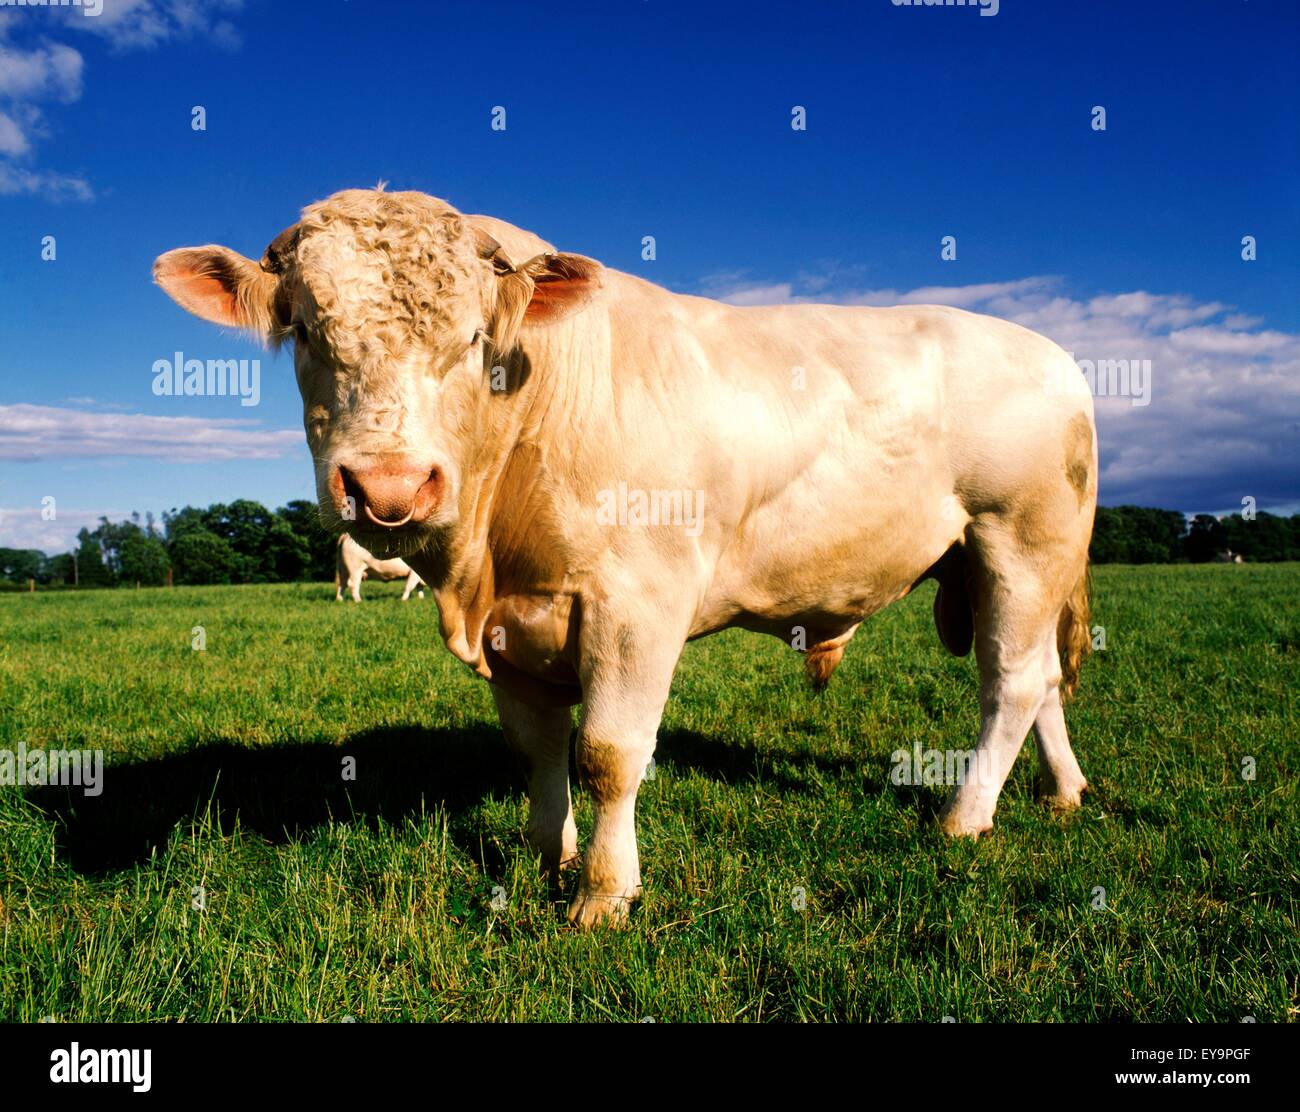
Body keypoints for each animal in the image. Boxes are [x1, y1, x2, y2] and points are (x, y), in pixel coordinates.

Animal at [153, 188, 1097, 928]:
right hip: (1004, 566)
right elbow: (538, 749)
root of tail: (1053, 355)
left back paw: (965, 817)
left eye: (473, 339)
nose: (388, 486)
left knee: (1011, 683)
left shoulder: (637, 602)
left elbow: (608, 752)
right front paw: (549, 858)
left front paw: (604, 894)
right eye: (305, 330)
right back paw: (1063, 792)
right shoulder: (515, 628)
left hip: (1020, 540)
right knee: (1045, 677)